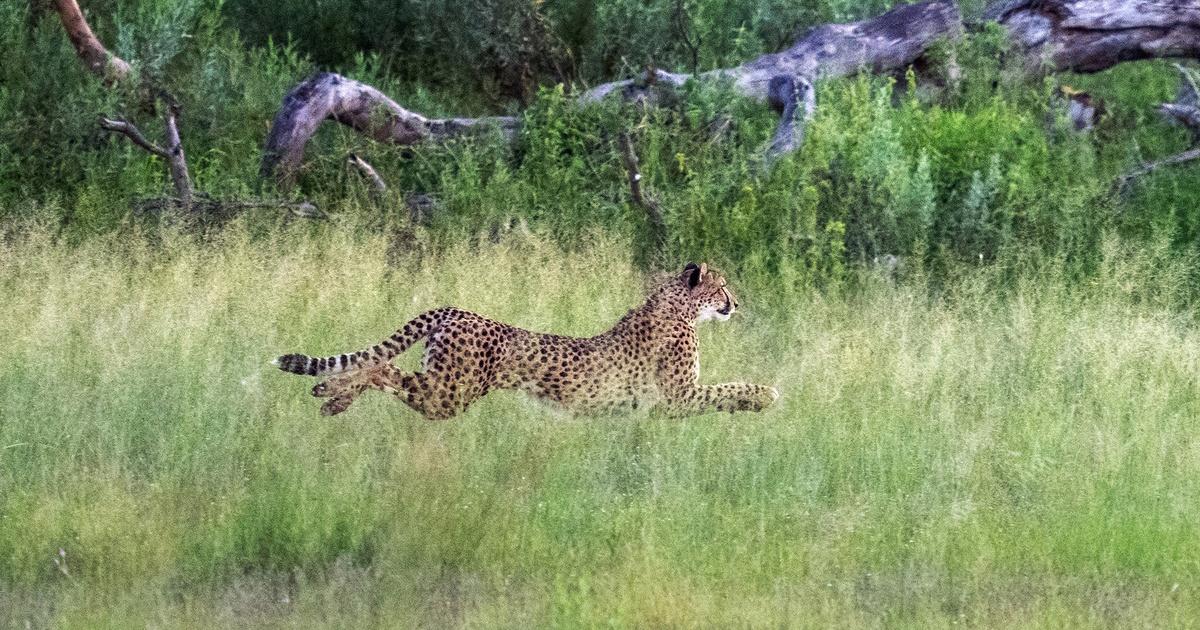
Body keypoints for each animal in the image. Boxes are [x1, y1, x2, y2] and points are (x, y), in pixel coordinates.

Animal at [273, 262, 778, 419]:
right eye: (722, 286)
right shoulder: (677, 398)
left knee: (375, 366)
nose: (736, 303)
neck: (678, 306)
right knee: (382, 368)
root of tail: (458, 309)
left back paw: (328, 394)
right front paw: (764, 395)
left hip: (443, 384)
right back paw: (332, 394)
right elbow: (727, 388)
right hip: (449, 394)